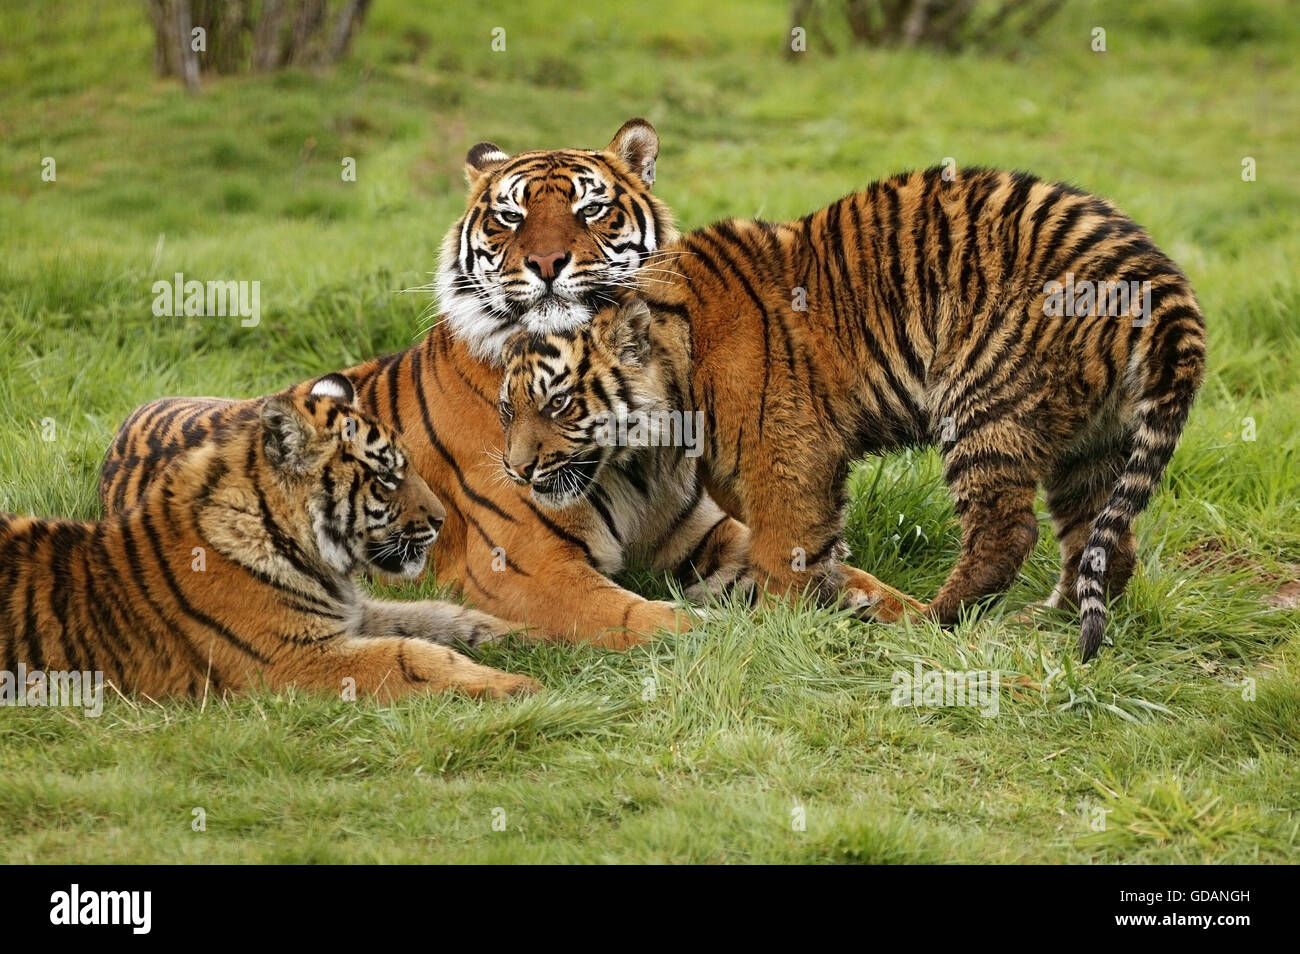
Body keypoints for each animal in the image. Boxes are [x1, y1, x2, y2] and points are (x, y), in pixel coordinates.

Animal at [6, 374, 539, 700]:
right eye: (387, 476)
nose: (443, 518)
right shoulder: (295, 658)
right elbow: (413, 654)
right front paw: (520, 686)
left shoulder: (349, 614)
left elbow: (437, 616)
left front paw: (530, 637)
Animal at [497, 167, 1207, 659]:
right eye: (506, 410)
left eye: (559, 403)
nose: (515, 471)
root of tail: (1156, 274)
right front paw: (832, 597)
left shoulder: (786, 453)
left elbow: (782, 548)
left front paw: (772, 632)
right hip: (1094, 440)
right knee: (1102, 543)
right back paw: (1050, 619)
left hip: (984, 404)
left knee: (1007, 532)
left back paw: (931, 622)